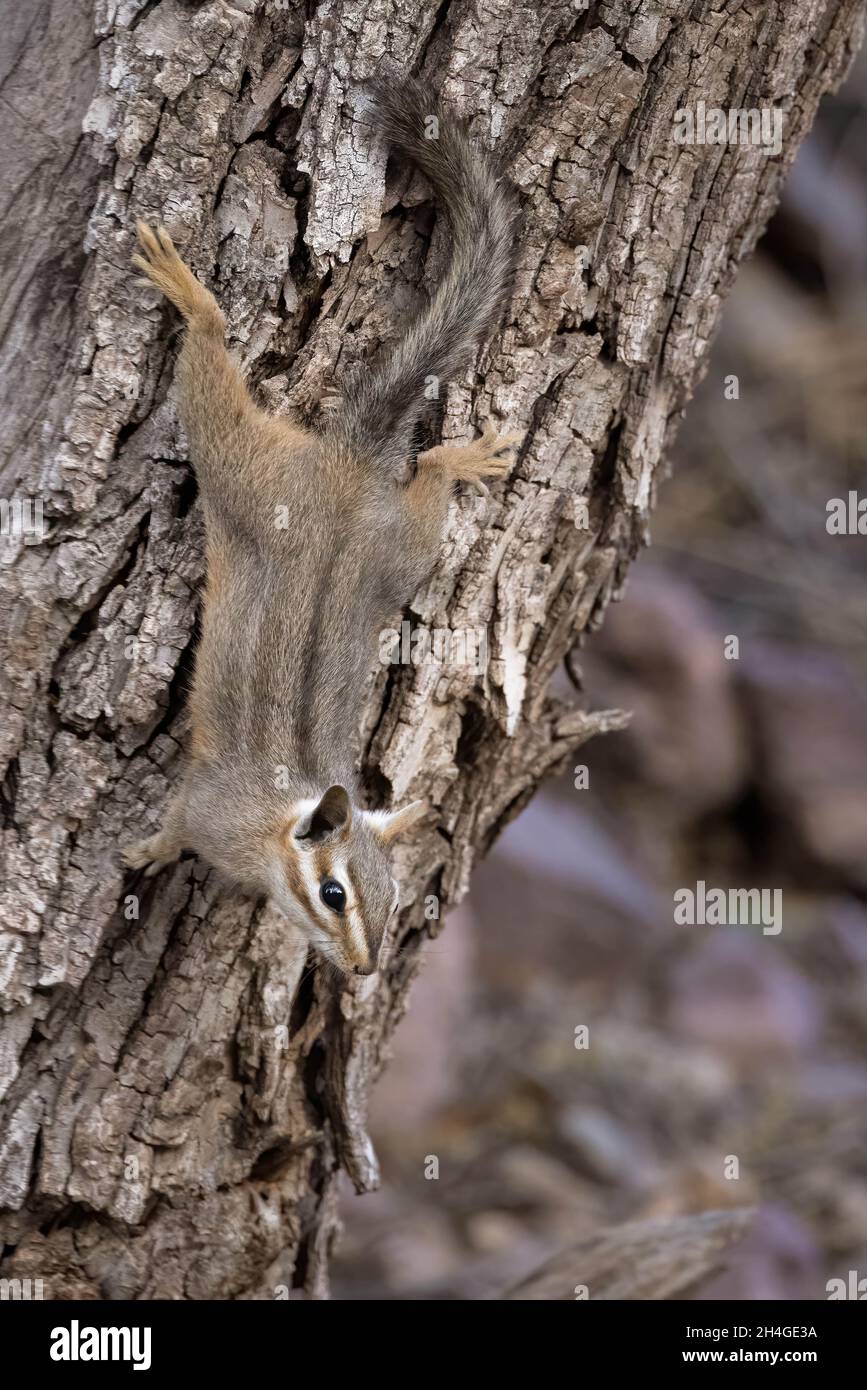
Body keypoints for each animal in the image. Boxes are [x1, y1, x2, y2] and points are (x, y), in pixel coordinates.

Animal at [123, 78, 519, 977]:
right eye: (334, 894)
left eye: (396, 895)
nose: (366, 970)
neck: (275, 829)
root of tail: (350, 465)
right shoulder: (209, 809)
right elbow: (176, 823)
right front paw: (149, 852)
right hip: (244, 473)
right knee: (211, 389)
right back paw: (194, 298)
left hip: (402, 552)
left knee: (427, 476)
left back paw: (460, 460)